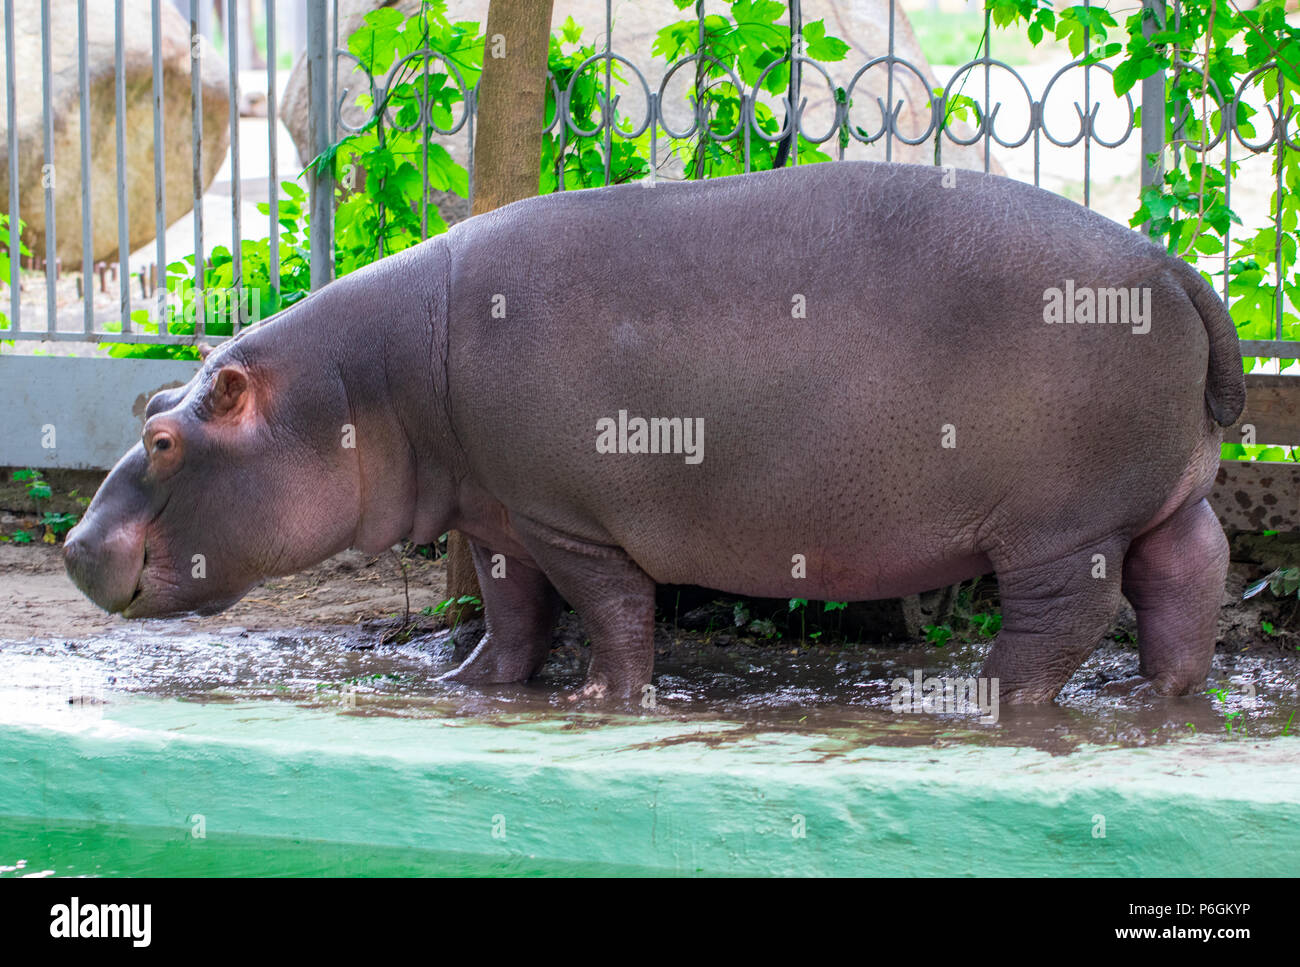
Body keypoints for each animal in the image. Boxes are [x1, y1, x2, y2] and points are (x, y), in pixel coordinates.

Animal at [64, 161, 1244, 703]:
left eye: (166, 442)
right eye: (150, 408)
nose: (74, 544)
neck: (364, 383)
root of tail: (1175, 265)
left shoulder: (566, 513)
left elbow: (609, 607)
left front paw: (600, 698)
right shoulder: (497, 510)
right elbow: (512, 610)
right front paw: (468, 688)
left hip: (1058, 523)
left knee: (1065, 615)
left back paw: (982, 698)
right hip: (1162, 494)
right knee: (1188, 576)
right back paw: (1162, 695)